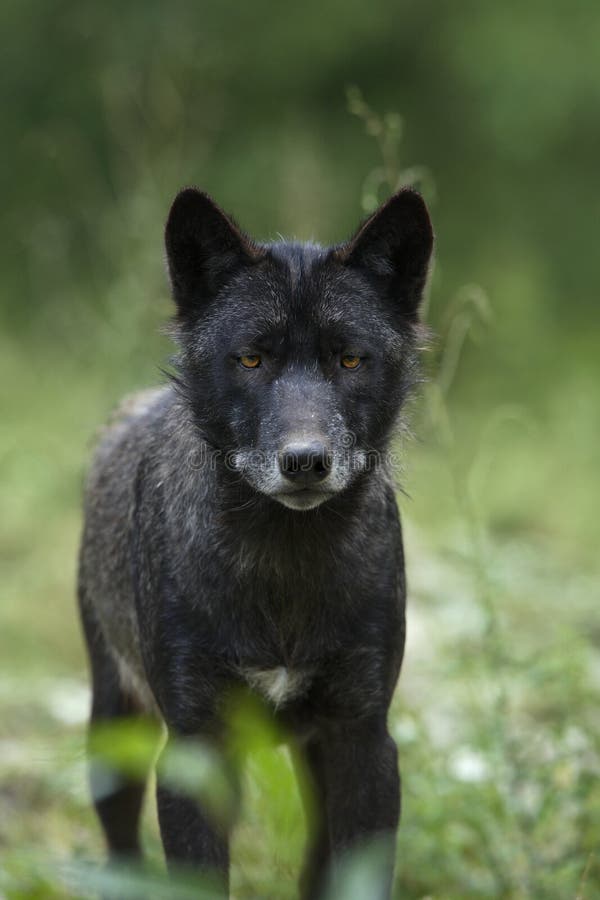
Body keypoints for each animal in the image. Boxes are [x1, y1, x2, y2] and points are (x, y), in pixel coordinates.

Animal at [78, 186, 433, 898]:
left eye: (349, 358)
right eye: (251, 358)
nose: (305, 461)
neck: (284, 573)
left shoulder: (363, 743)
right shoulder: (193, 750)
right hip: (114, 732)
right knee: (122, 847)